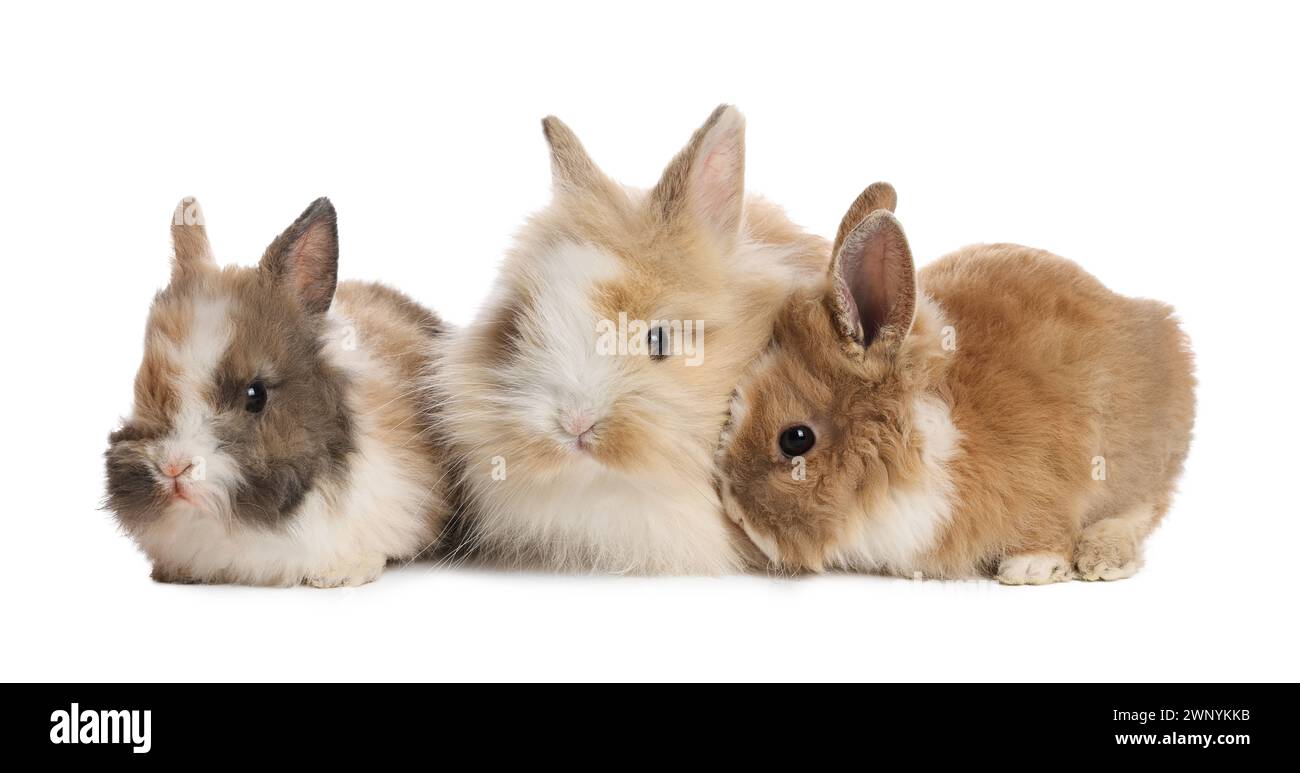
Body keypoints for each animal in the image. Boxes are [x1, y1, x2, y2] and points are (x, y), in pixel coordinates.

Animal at [716, 183, 1196, 584]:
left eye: (795, 439)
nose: (736, 513)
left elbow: (1052, 521)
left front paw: (1032, 567)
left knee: (1141, 508)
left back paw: (1102, 560)